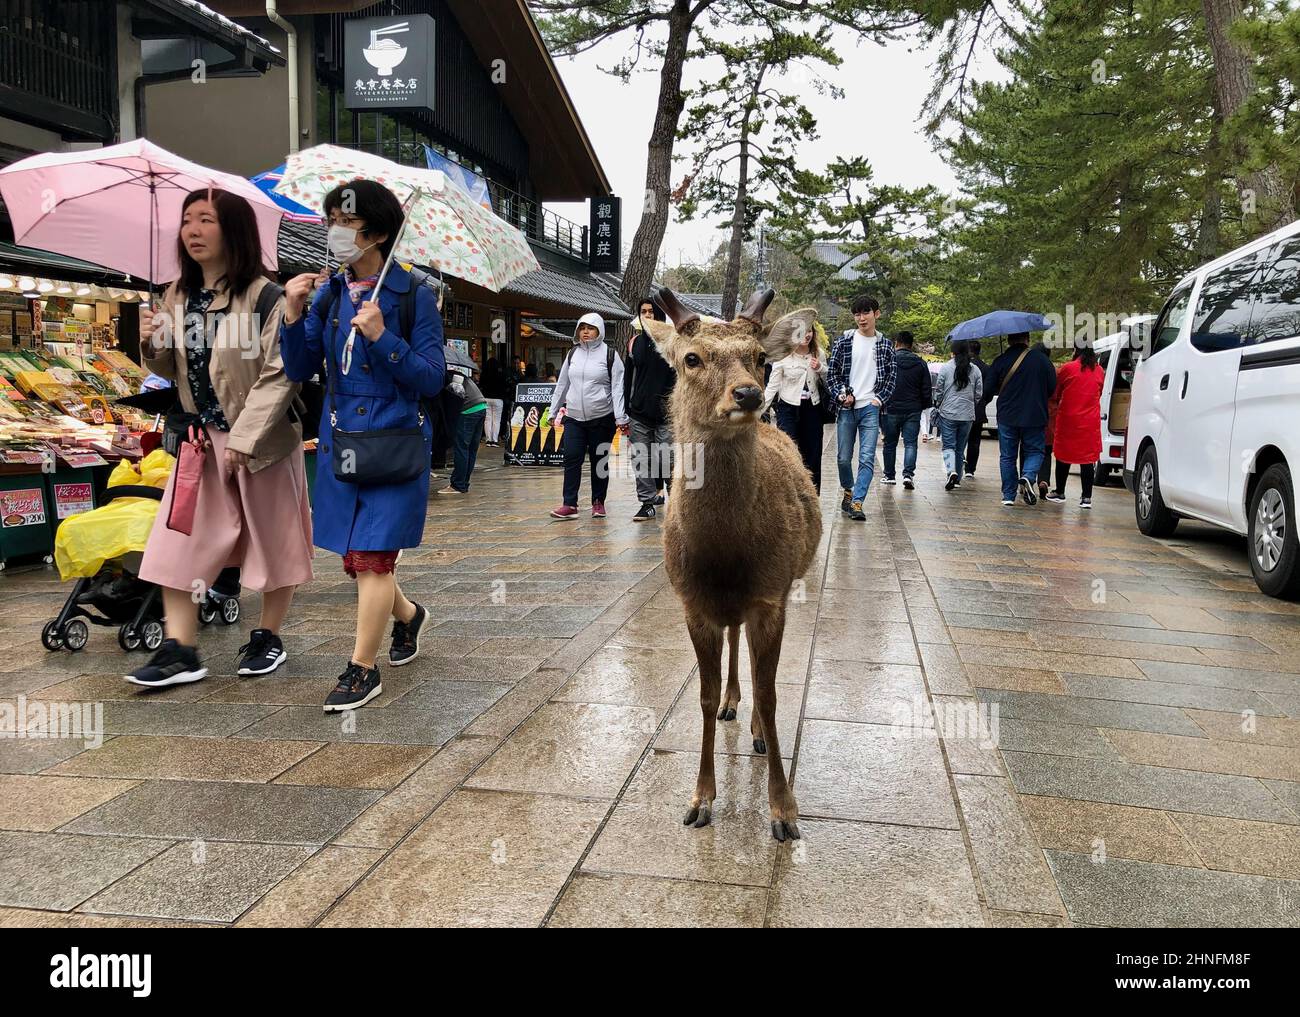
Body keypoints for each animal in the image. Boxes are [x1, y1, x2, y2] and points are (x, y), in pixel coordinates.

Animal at [640, 287, 822, 842]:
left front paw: (784, 811)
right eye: (691, 358)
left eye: (761, 357)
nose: (747, 395)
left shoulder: (769, 597)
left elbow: (772, 694)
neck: (723, 554)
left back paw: (756, 729)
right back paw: (730, 704)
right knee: (733, 642)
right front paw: (700, 800)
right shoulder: (693, 603)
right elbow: (700, 697)